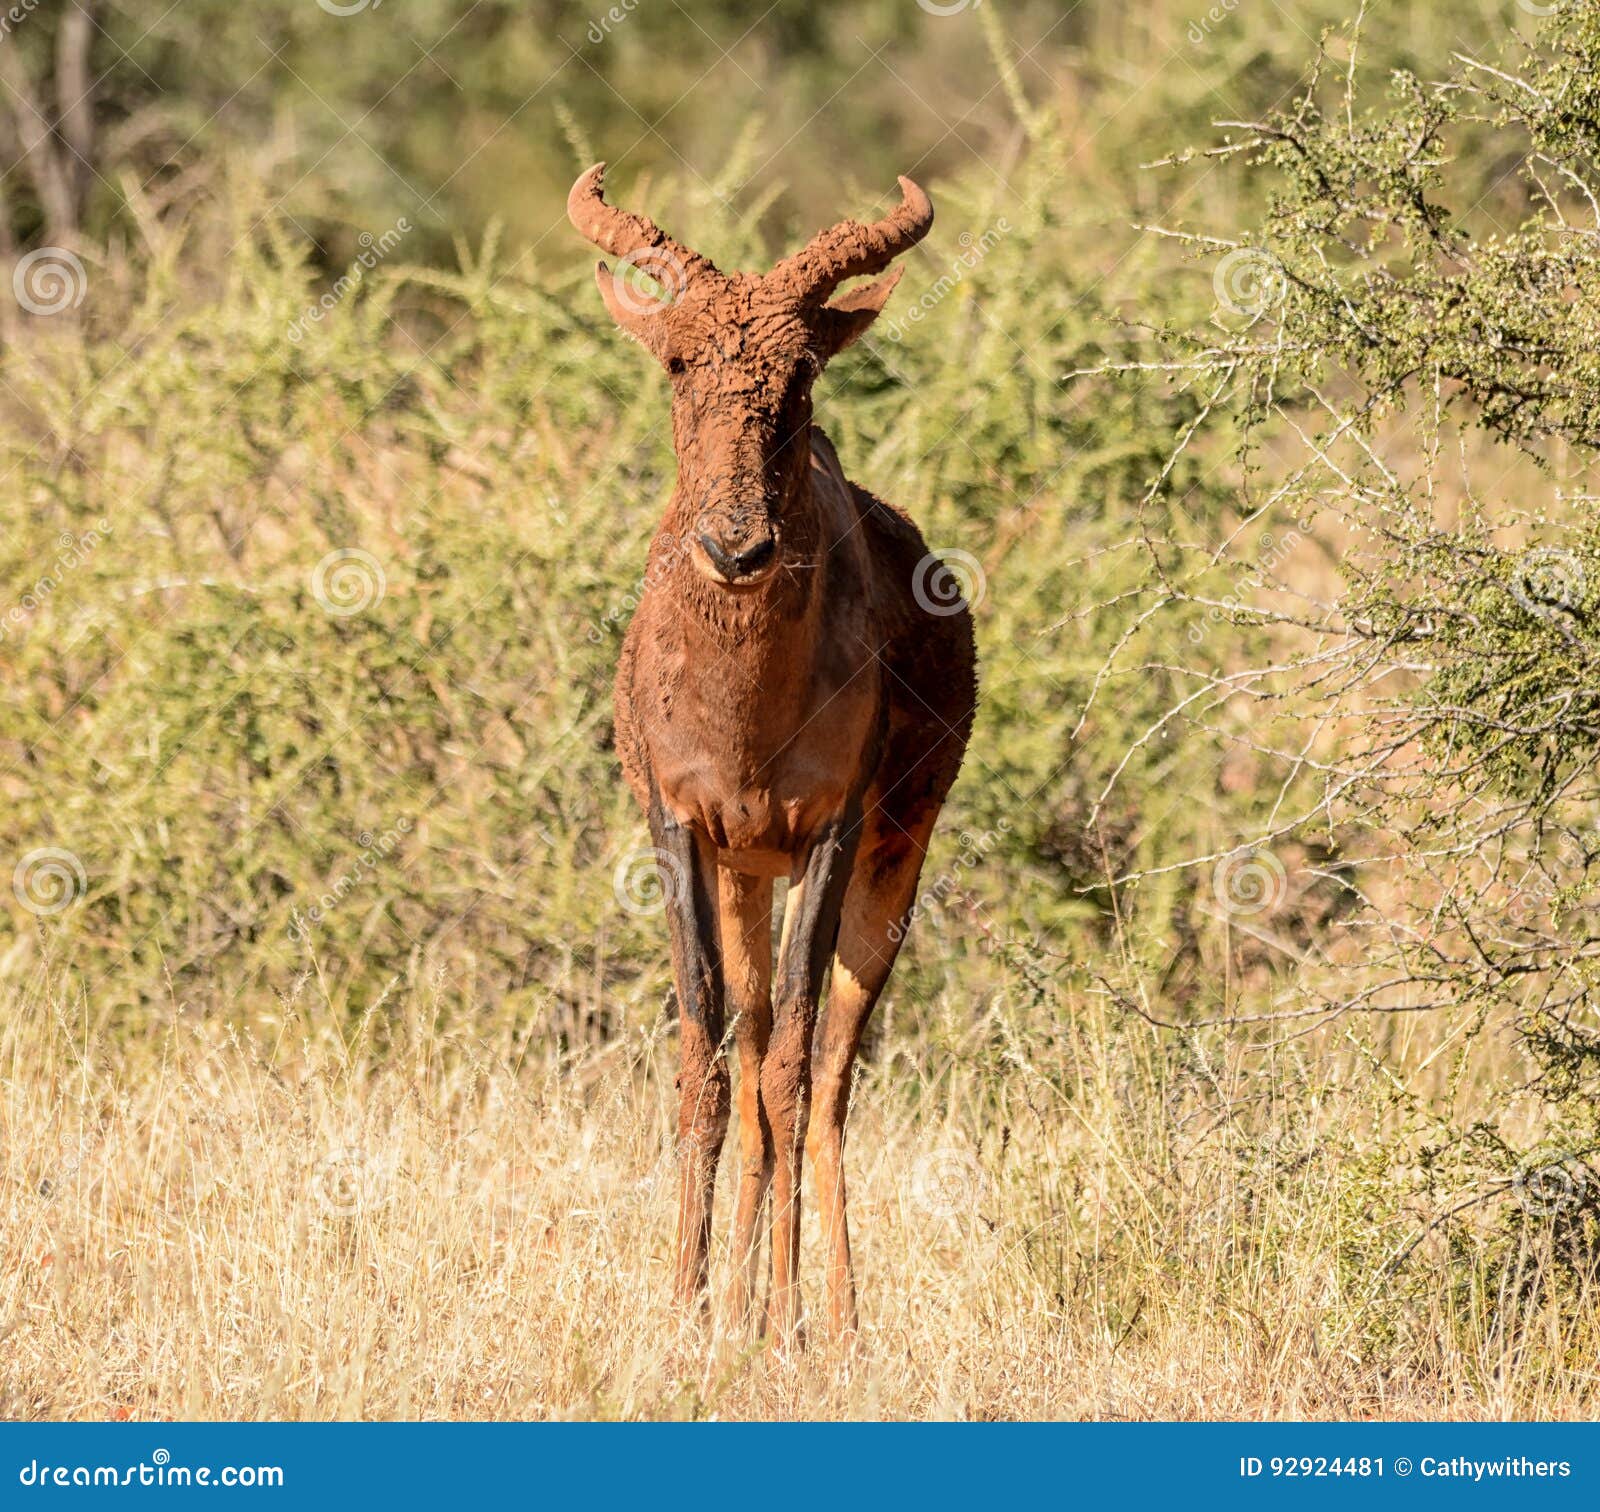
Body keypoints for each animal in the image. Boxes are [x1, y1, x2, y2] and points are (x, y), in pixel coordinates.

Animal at [569, 163, 977, 1346]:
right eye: (676, 360)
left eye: (801, 372)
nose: (737, 547)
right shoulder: (676, 829)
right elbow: (708, 1060)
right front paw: (684, 1307)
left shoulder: (832, 833)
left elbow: (797, 1068)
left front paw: (789, 1318)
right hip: (747, 876)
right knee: (749, 1057)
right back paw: (739, 1310)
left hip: (888, 866)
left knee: (828, 1074)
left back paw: (829, 1318)